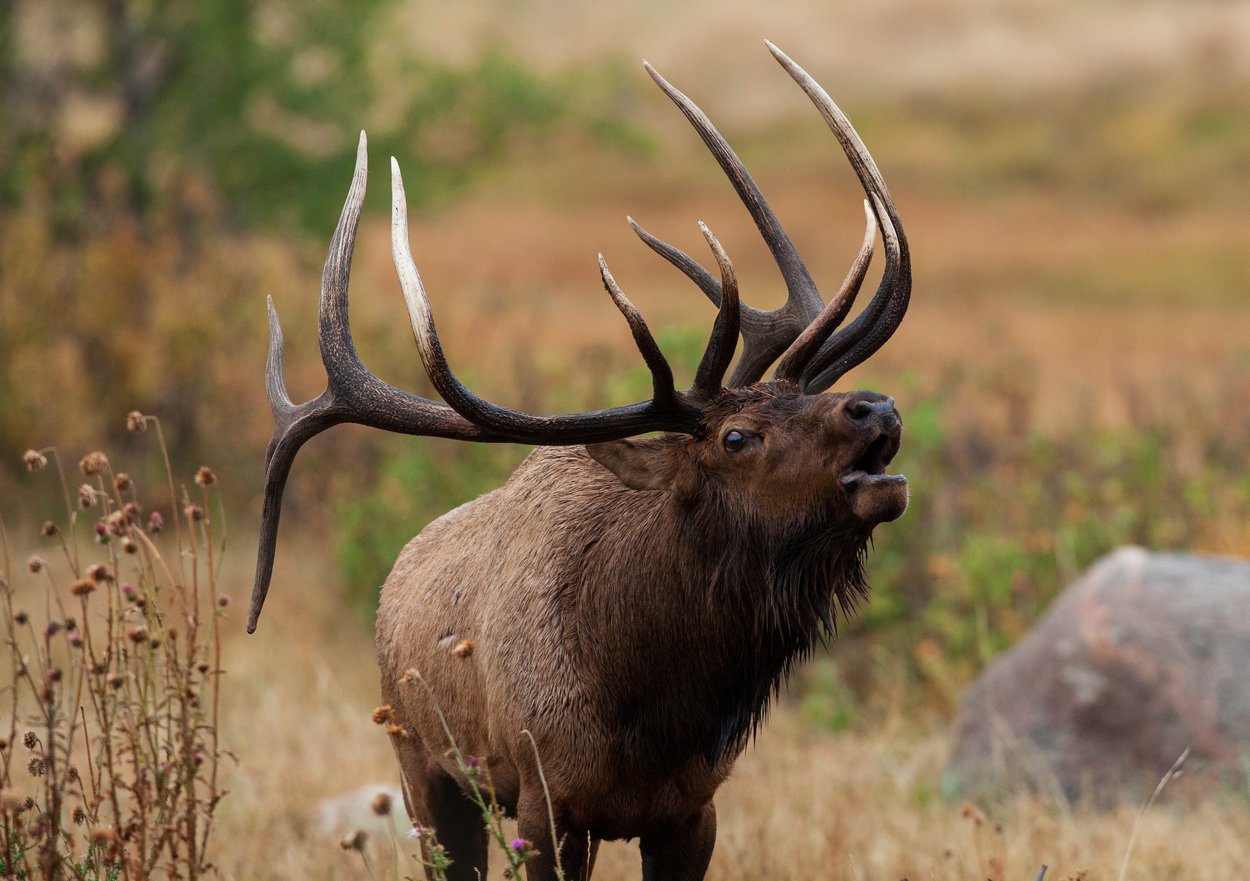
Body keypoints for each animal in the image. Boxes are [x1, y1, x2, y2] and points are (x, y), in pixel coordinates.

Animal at [247, 42, 910, 880]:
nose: (877, 407)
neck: (652, 704)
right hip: (422, 765)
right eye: (736, 437)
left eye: (804, 395)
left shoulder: (695, 808)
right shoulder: (548, 799)